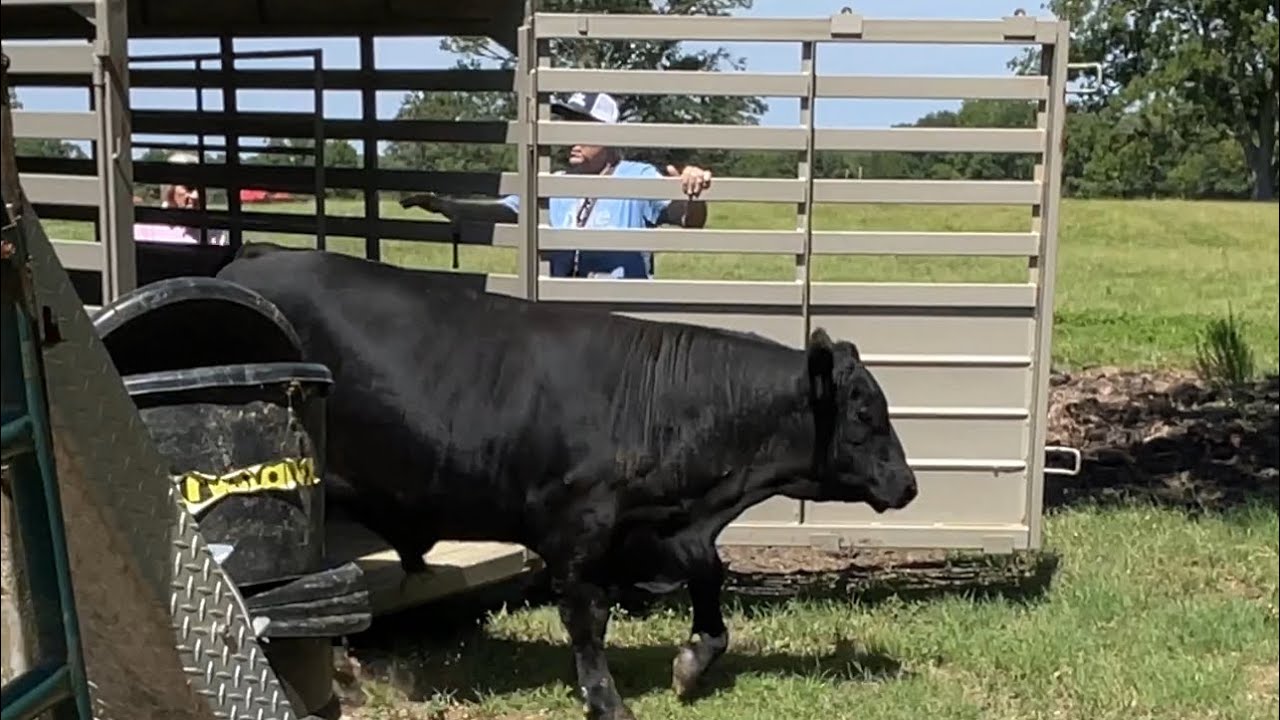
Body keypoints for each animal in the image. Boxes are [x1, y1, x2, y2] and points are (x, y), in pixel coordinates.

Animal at [215, 246, 918, 720]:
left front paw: (690, 665)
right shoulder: (577, 530)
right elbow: (589, 618)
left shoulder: (660, 527)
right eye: (864, 413)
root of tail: (254, 260)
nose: (908, 485)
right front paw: (607, 699)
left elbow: (708, 581)